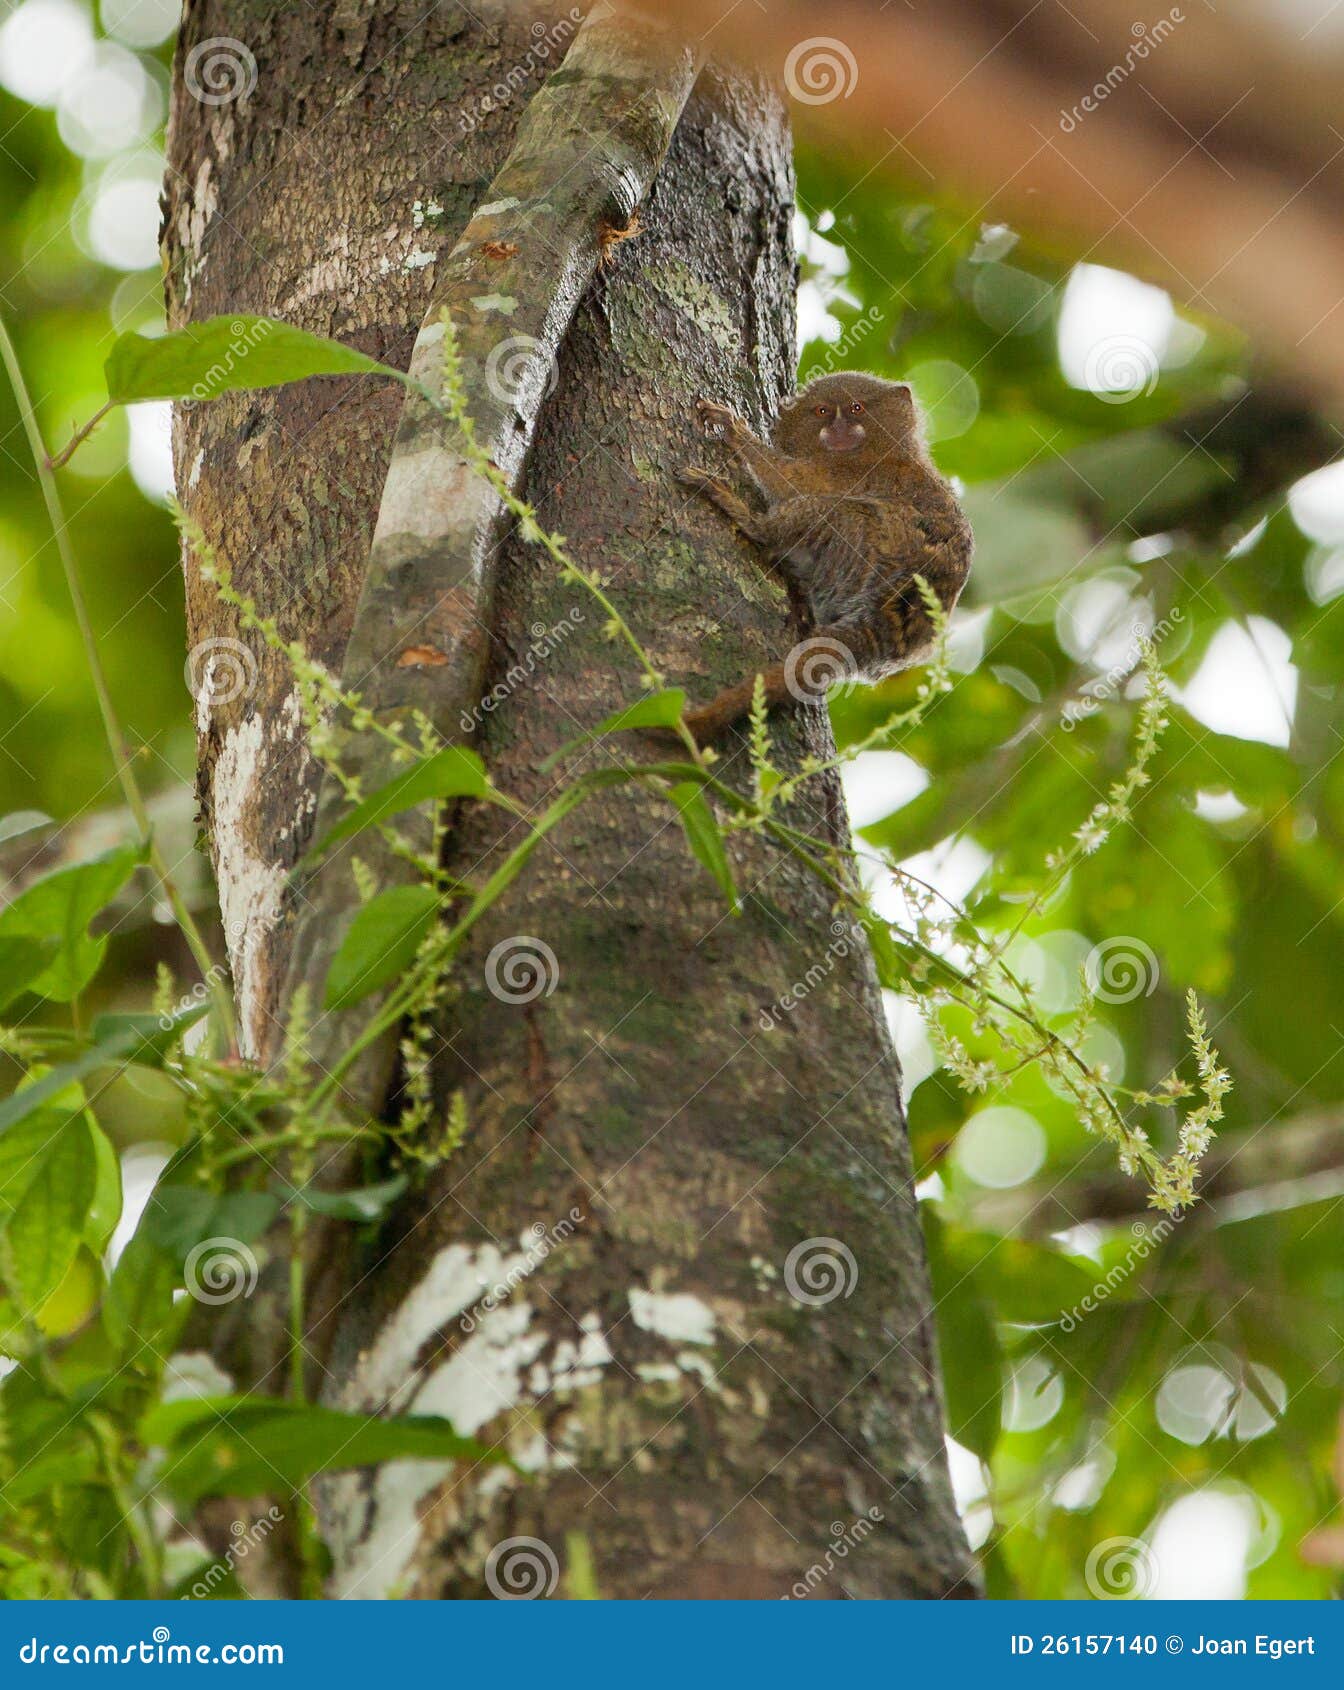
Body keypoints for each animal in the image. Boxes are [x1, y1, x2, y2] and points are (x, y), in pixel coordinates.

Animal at [674, 373, 973, 744]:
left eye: (856, 408)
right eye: (822, 411)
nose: (838, 427)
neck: (879, 450)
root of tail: (887, 628)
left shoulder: (854, 473)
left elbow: (792, 482)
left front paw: (735, 431)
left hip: (863, 552)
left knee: (831, 510)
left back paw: (744, 516)